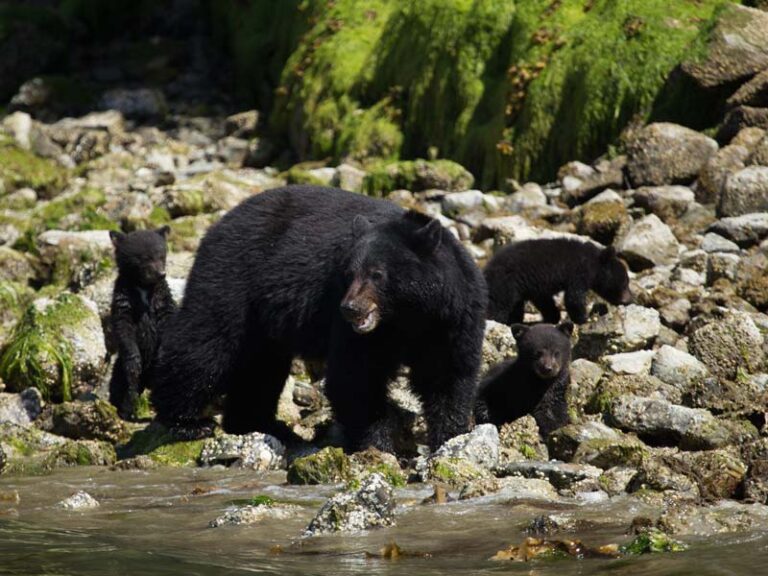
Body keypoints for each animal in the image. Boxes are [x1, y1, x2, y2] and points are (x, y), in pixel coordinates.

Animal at [108, 226, 176, 420]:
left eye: (162, 255)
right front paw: (134, 362)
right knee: (119, 385)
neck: (143, 287)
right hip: (119, 368)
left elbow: (168, 320)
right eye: (144, 257)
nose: (161, 273)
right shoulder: (123, 298)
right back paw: (123, 410)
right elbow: (123, 328)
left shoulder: (162, 297)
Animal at [150, 185, 488, 453]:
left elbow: (447, 375)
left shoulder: (452, 322)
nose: (350, 308)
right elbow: (355, 376)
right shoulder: (360, 333)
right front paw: (378, 447)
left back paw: (259, 425)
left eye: (377, 274)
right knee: (206, 342)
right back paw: (187, 420)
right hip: (233, 278)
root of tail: (219, 222)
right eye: (349, 272)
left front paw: (451, 438)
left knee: (259, 367)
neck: (408, 316)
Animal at [484, 238, 632, 325]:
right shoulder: (578, 272)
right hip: (504, 284)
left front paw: (553, 317)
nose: (630, 299)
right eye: (625, 282)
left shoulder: (536, 286)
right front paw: (585, 319)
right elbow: (574, 298)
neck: (594, 263)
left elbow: (545, 301)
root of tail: (486, 269)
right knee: (499, 307)